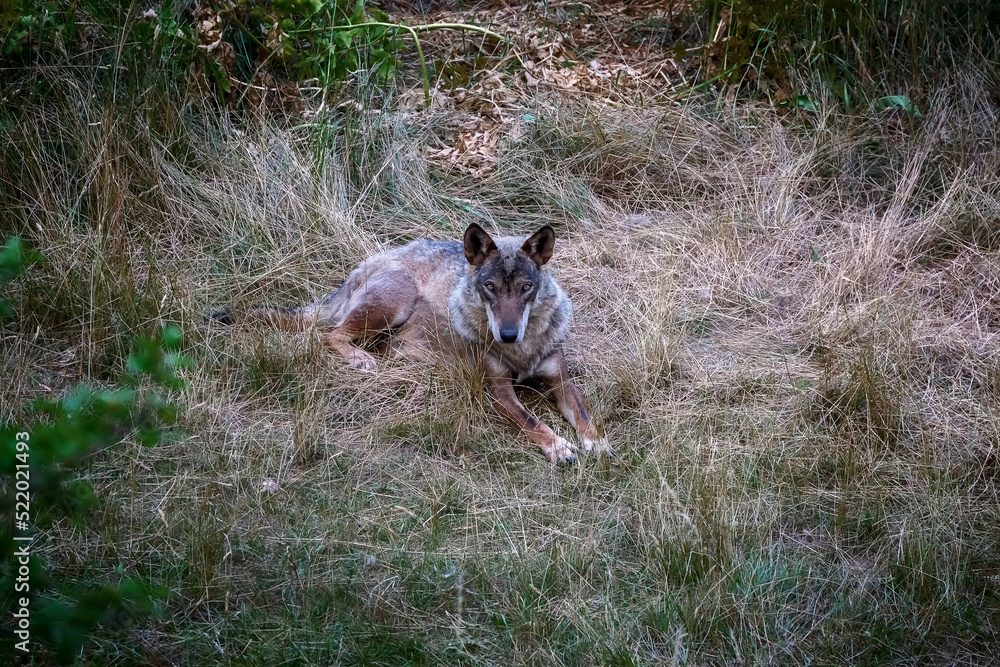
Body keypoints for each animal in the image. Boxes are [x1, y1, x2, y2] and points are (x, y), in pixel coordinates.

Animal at [217, 223, 610, 463]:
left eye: (526, 288)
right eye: (490, 288)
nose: (508, 334)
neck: (522, 349)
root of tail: (368, 261)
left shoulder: (561, 380)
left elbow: (585, 414)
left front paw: (597, 442)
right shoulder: (497, 390)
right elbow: (531, 421)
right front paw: (557, 446)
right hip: (394, 303)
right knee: (329, 334)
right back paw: (359, 359)